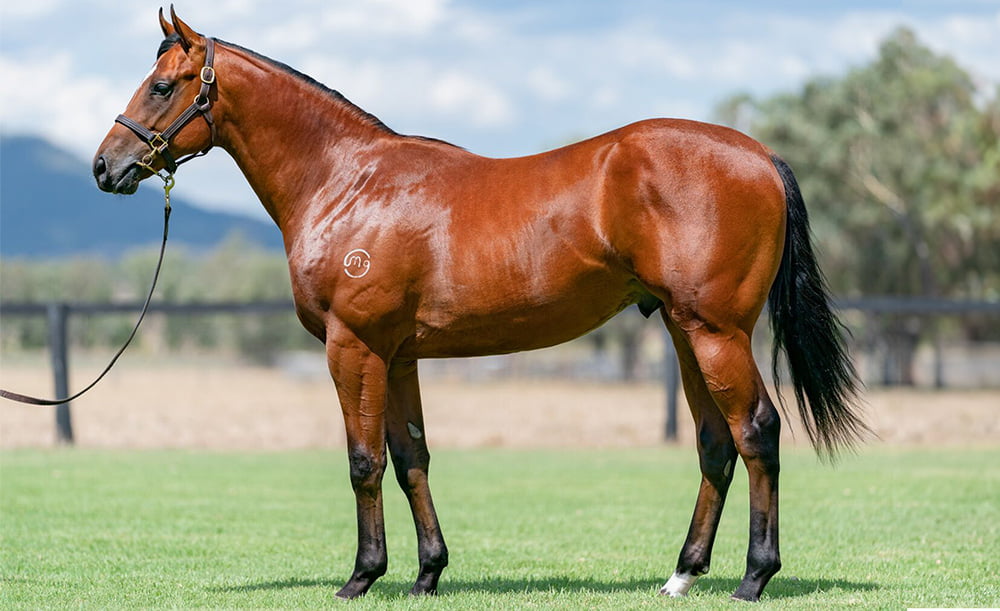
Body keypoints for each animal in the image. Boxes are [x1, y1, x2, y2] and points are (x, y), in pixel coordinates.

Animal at [93, 8, 867, 602]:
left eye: (162, 85)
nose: (106, 166)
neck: (348, 181)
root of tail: (760, 156)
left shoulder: (353, 345)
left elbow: (363, 460)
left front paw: (361, 576)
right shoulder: (397, 354)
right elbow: (411, 456)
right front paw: (426, 574)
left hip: (716, 331)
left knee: (757, 431)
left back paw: (754, 577)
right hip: (683, 330)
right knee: (715, 442)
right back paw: (681, 575)